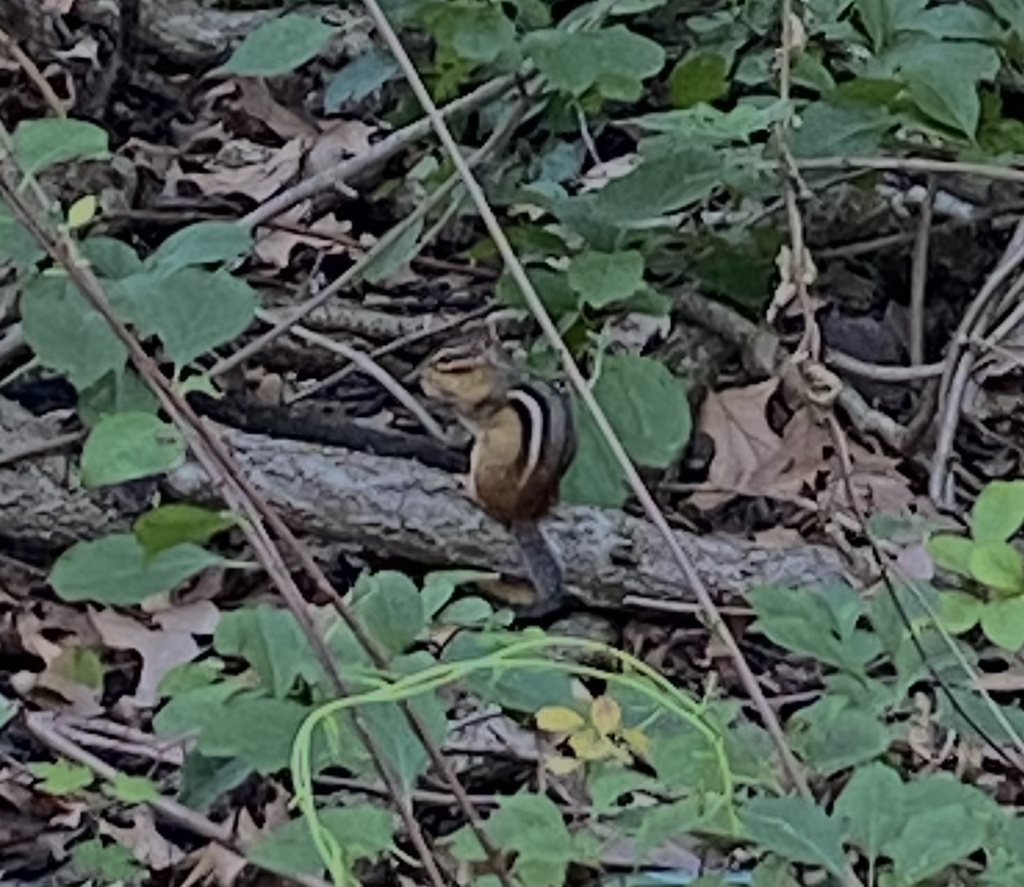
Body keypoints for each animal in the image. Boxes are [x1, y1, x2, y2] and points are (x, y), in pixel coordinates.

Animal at [420, 337, 577, 616]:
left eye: (445, 360)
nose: (420, 376)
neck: (495, 374)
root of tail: (521, 512)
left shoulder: (481, 408)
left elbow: (466, 411)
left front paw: (436, 397)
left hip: (485, 455)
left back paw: (466, 485)